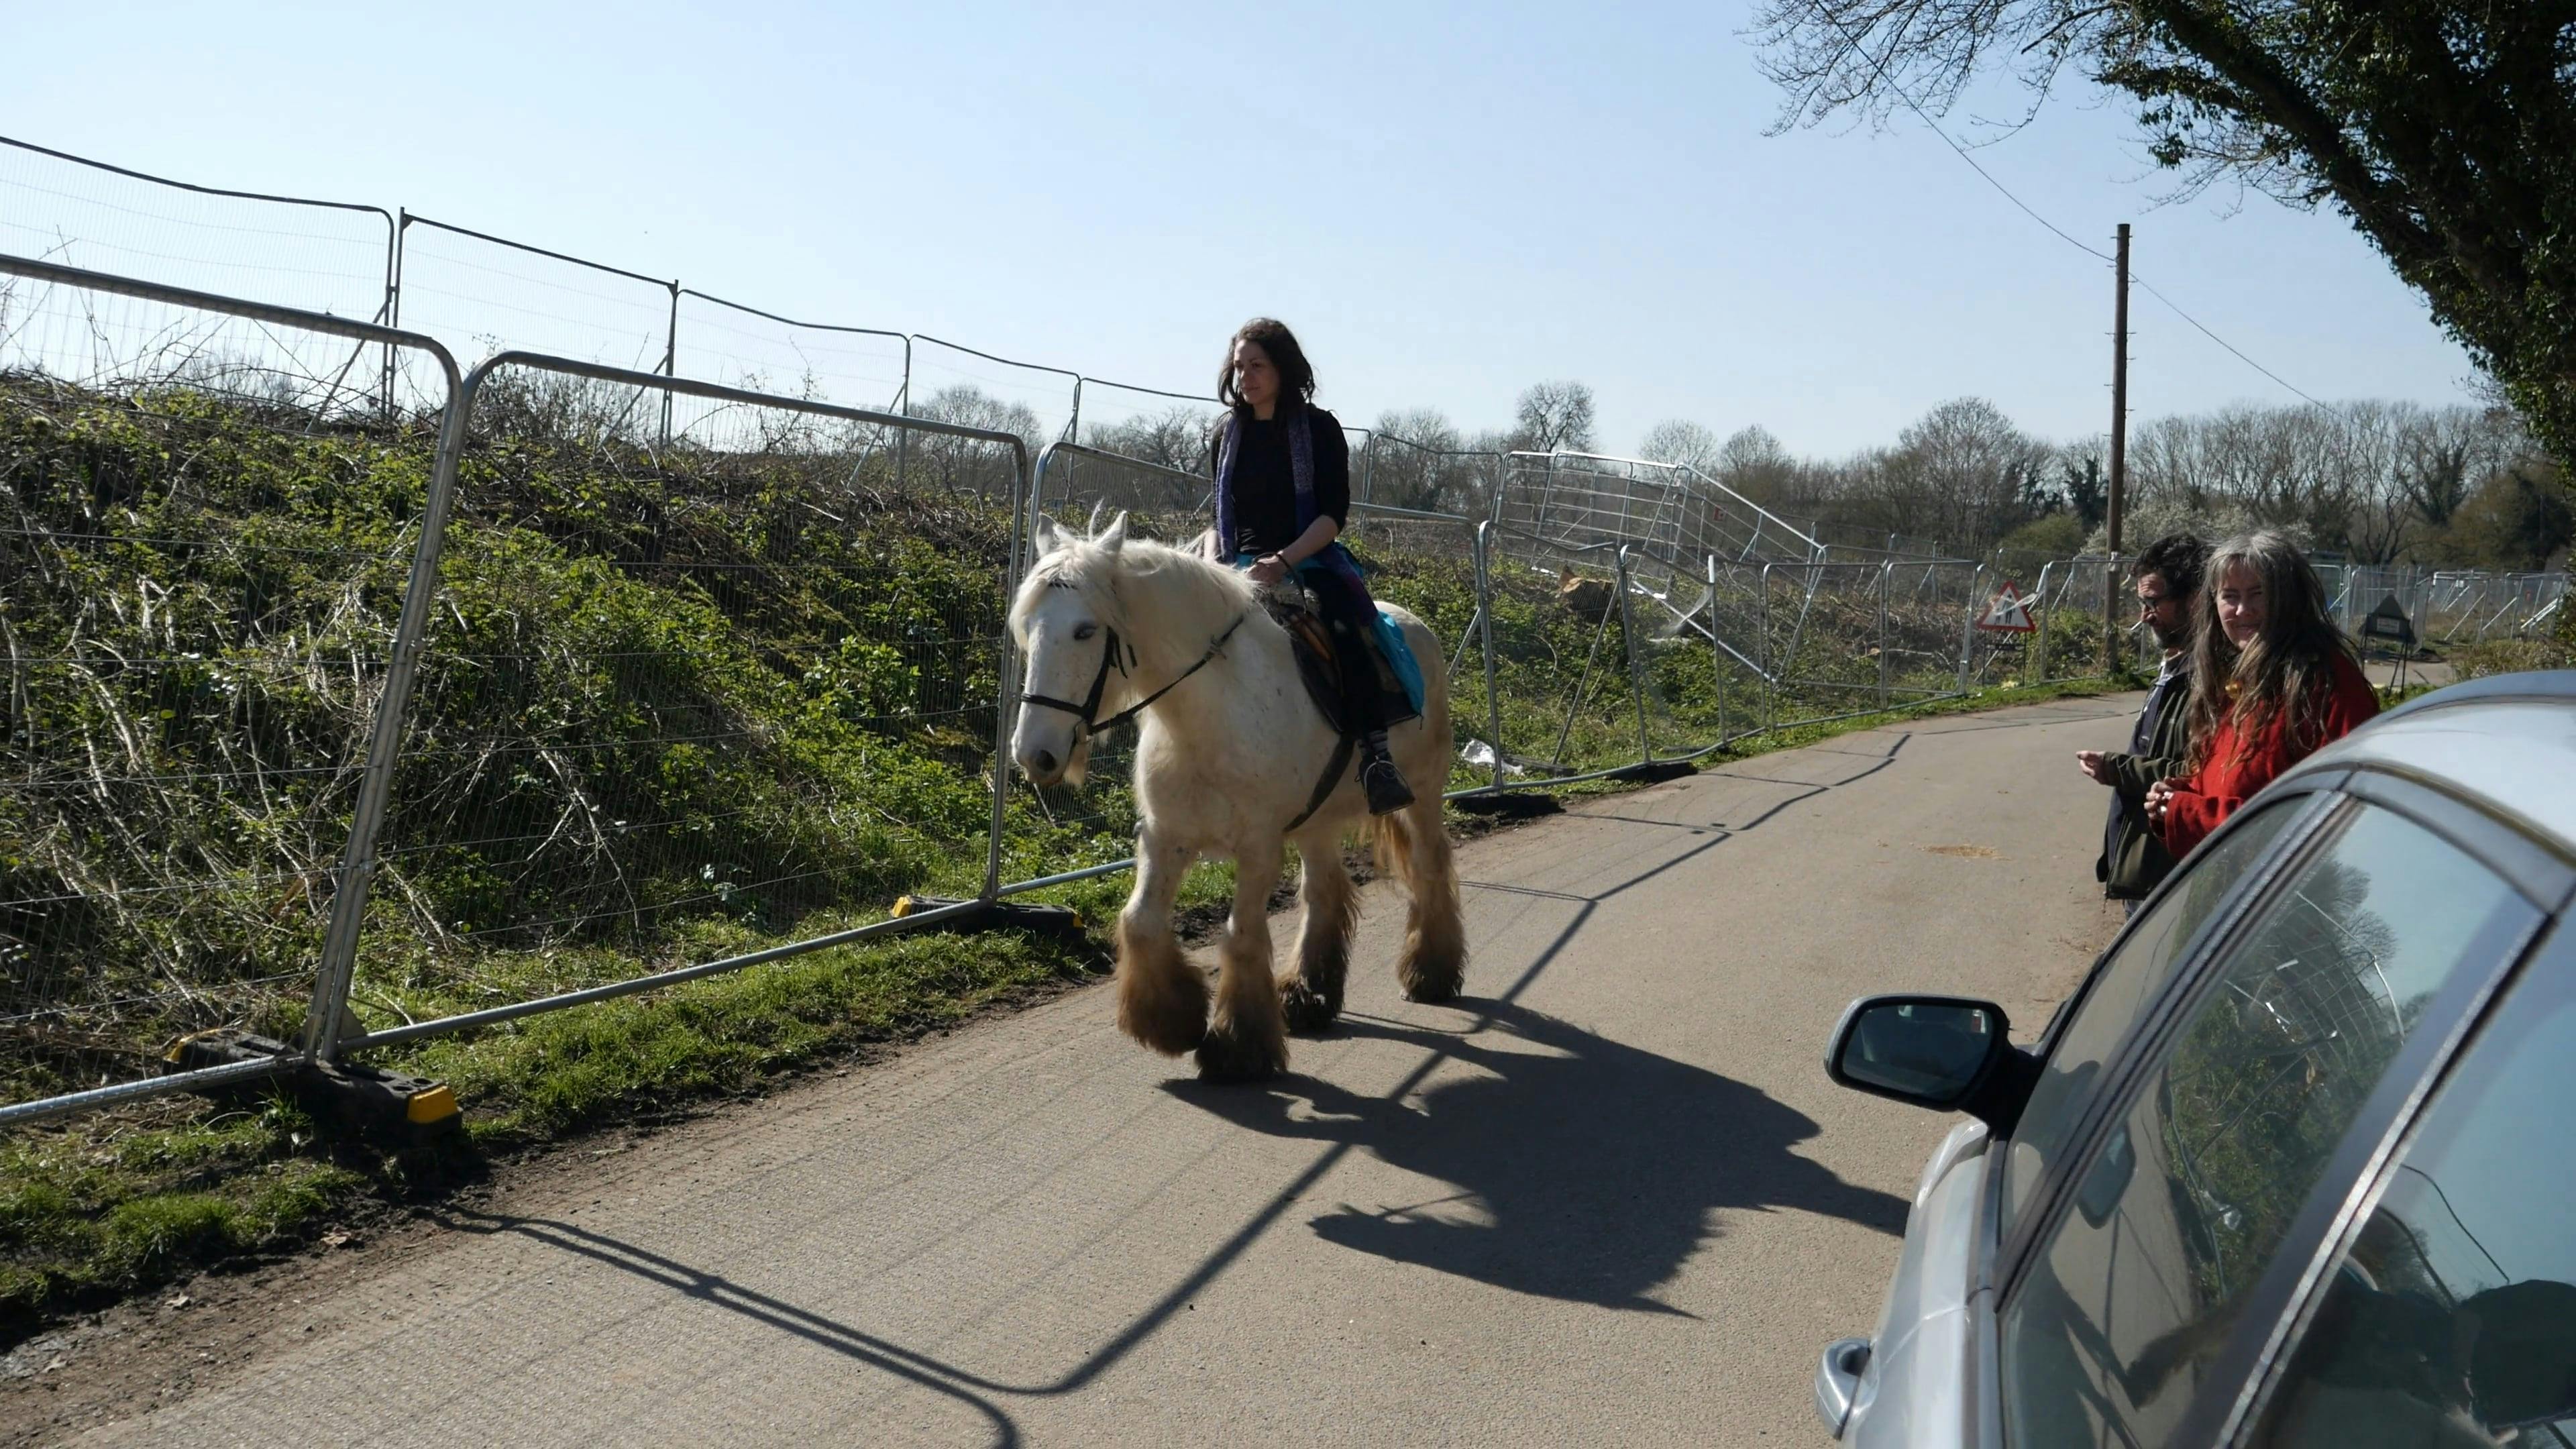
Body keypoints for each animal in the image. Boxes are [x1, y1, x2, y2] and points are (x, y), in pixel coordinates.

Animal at [1007, 512, 1467, 1081]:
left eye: (1085, 630)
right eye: (1028, 629)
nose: (1034, 754)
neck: (1207, 716)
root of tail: (1414, 624)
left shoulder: (1258, 847)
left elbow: (1242, 934)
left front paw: (1237, 1047)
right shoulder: (1164, 838)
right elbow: (1139, 923)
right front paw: (1171, 1021)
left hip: (1422, 794)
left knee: (1429, 866)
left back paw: (1431, 972)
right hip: (1315, 822)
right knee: (1324, 890)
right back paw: (1307, 995)